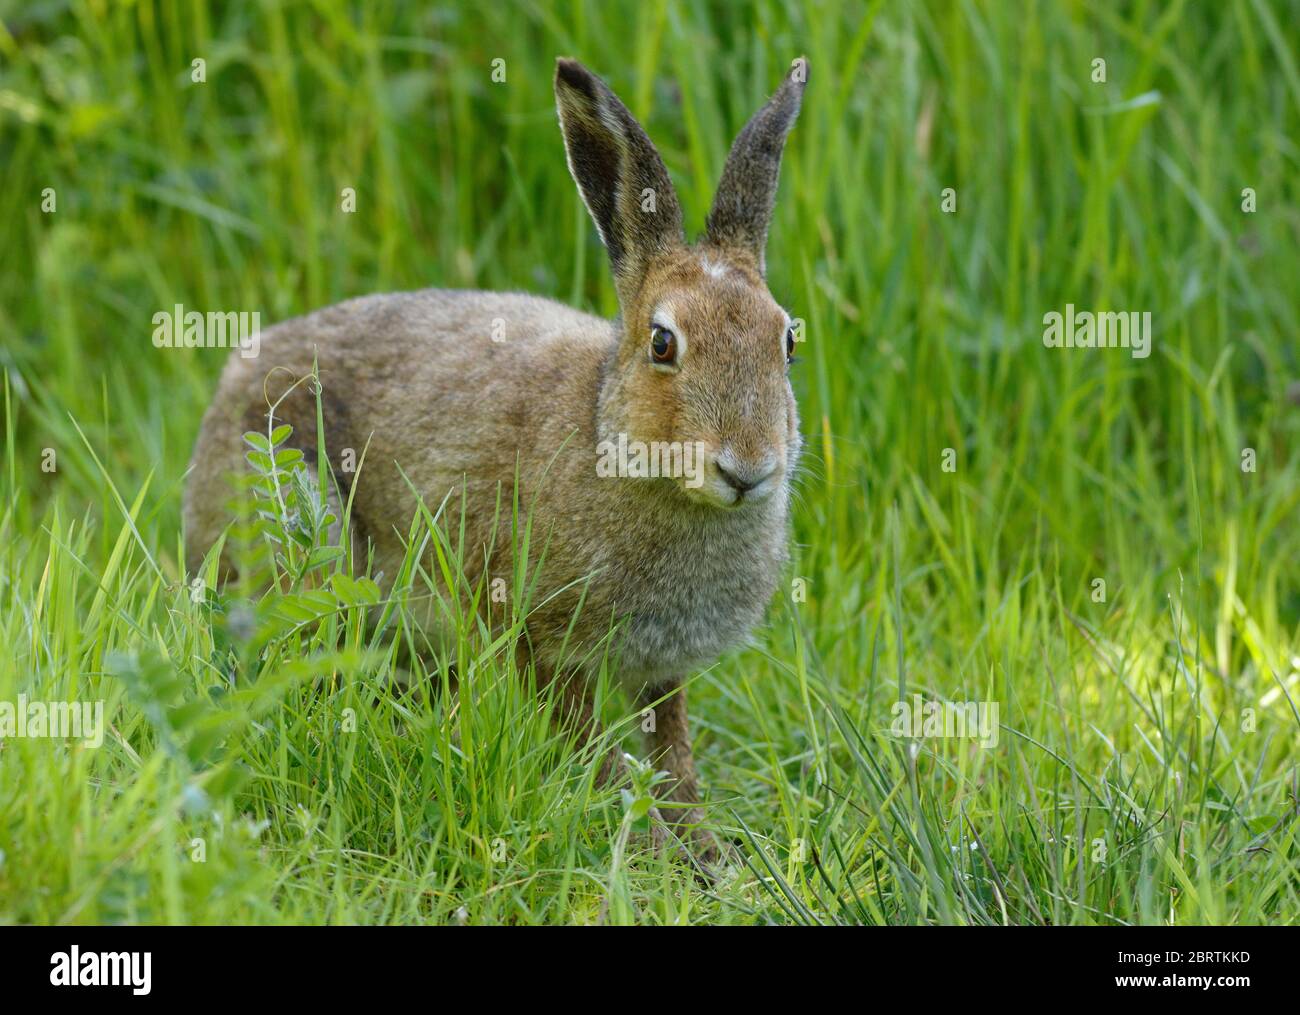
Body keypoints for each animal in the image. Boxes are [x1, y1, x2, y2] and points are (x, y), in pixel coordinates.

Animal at [184, 57, 806, 860]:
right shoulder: (539, 639)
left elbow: (673, 757)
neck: (617, 446)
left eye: (786, 340)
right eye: (663, 343)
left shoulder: (660, 670)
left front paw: (705, 855)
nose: (747, 468)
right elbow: (598, 754)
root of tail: (229, 385)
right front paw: (651, 850)